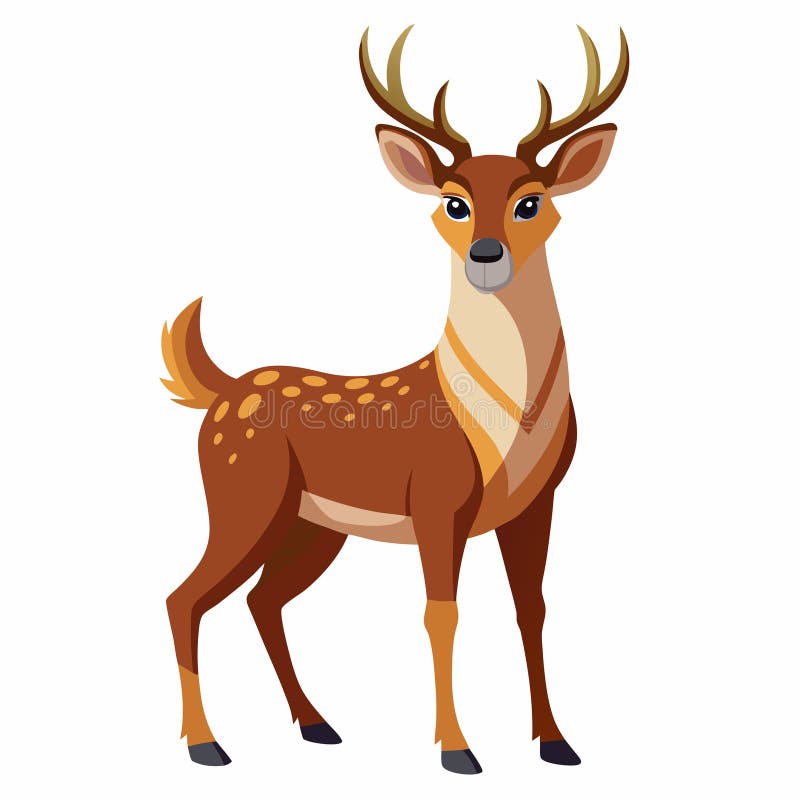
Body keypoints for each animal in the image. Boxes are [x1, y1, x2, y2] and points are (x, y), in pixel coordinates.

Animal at [162, 25, 629, 775]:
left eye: (531, 200)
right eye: (454, 202)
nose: (487, 254)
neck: (506, 425)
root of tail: (225, 388)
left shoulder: (540, 501)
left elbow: (532, 607)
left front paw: (557, 742)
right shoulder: (436, 496)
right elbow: (442, 613)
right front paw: (458, 751)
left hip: (310, 524)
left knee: (262, 600)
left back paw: (317, 725)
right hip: (242, 493)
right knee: (184, 598)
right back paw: (208, 746)